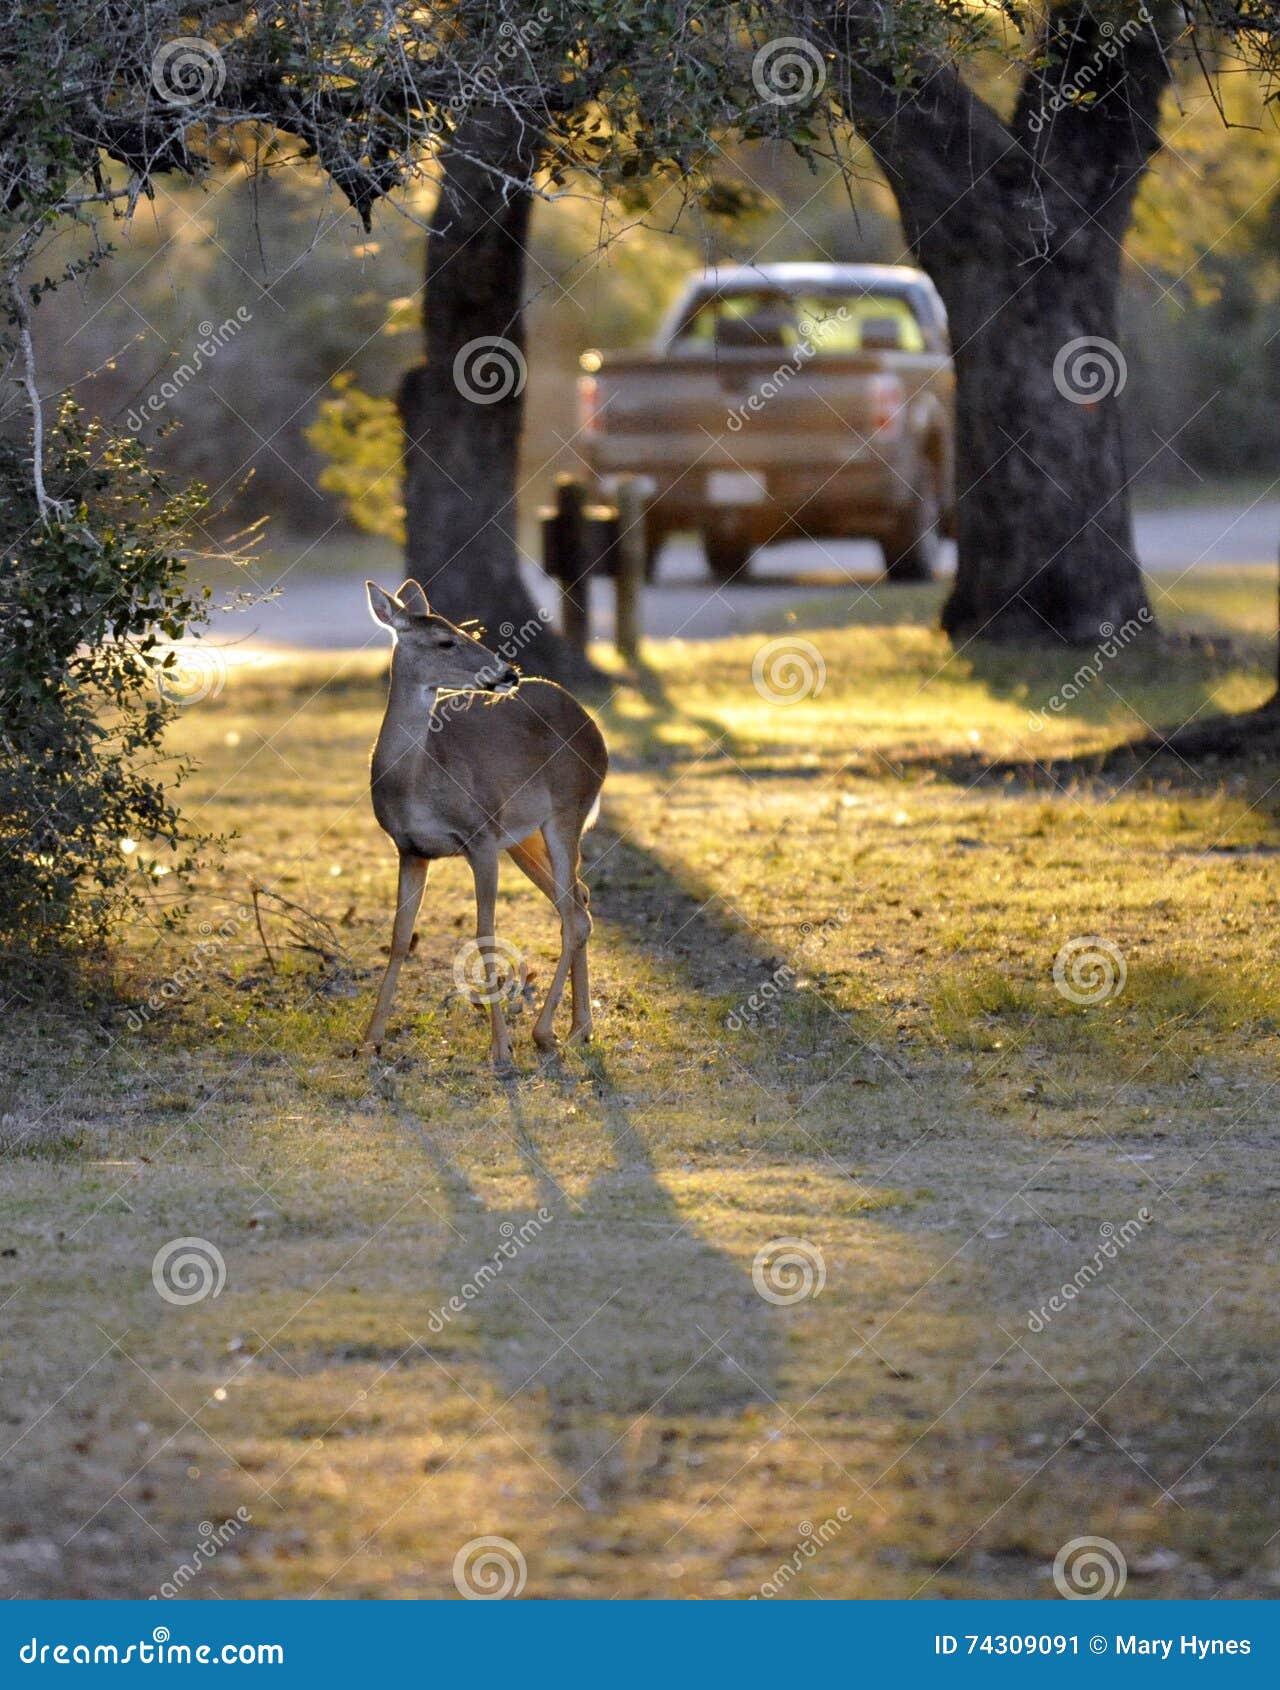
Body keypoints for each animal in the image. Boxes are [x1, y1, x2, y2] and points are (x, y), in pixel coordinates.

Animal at [355, 581, 607, 1071]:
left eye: (464, 630)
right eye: (446, 641)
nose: (507, 672)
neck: (418, 778)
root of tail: (590, 722)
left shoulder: (481, 836)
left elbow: (485, 935)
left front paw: (500, 1048)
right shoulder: (408, 848)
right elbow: (399, 938)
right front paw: (370, 1040)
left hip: (568, 808)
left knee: (575, 914)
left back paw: (547, 1032)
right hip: (525, 835)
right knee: (579, 900)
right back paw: (578, 1027)